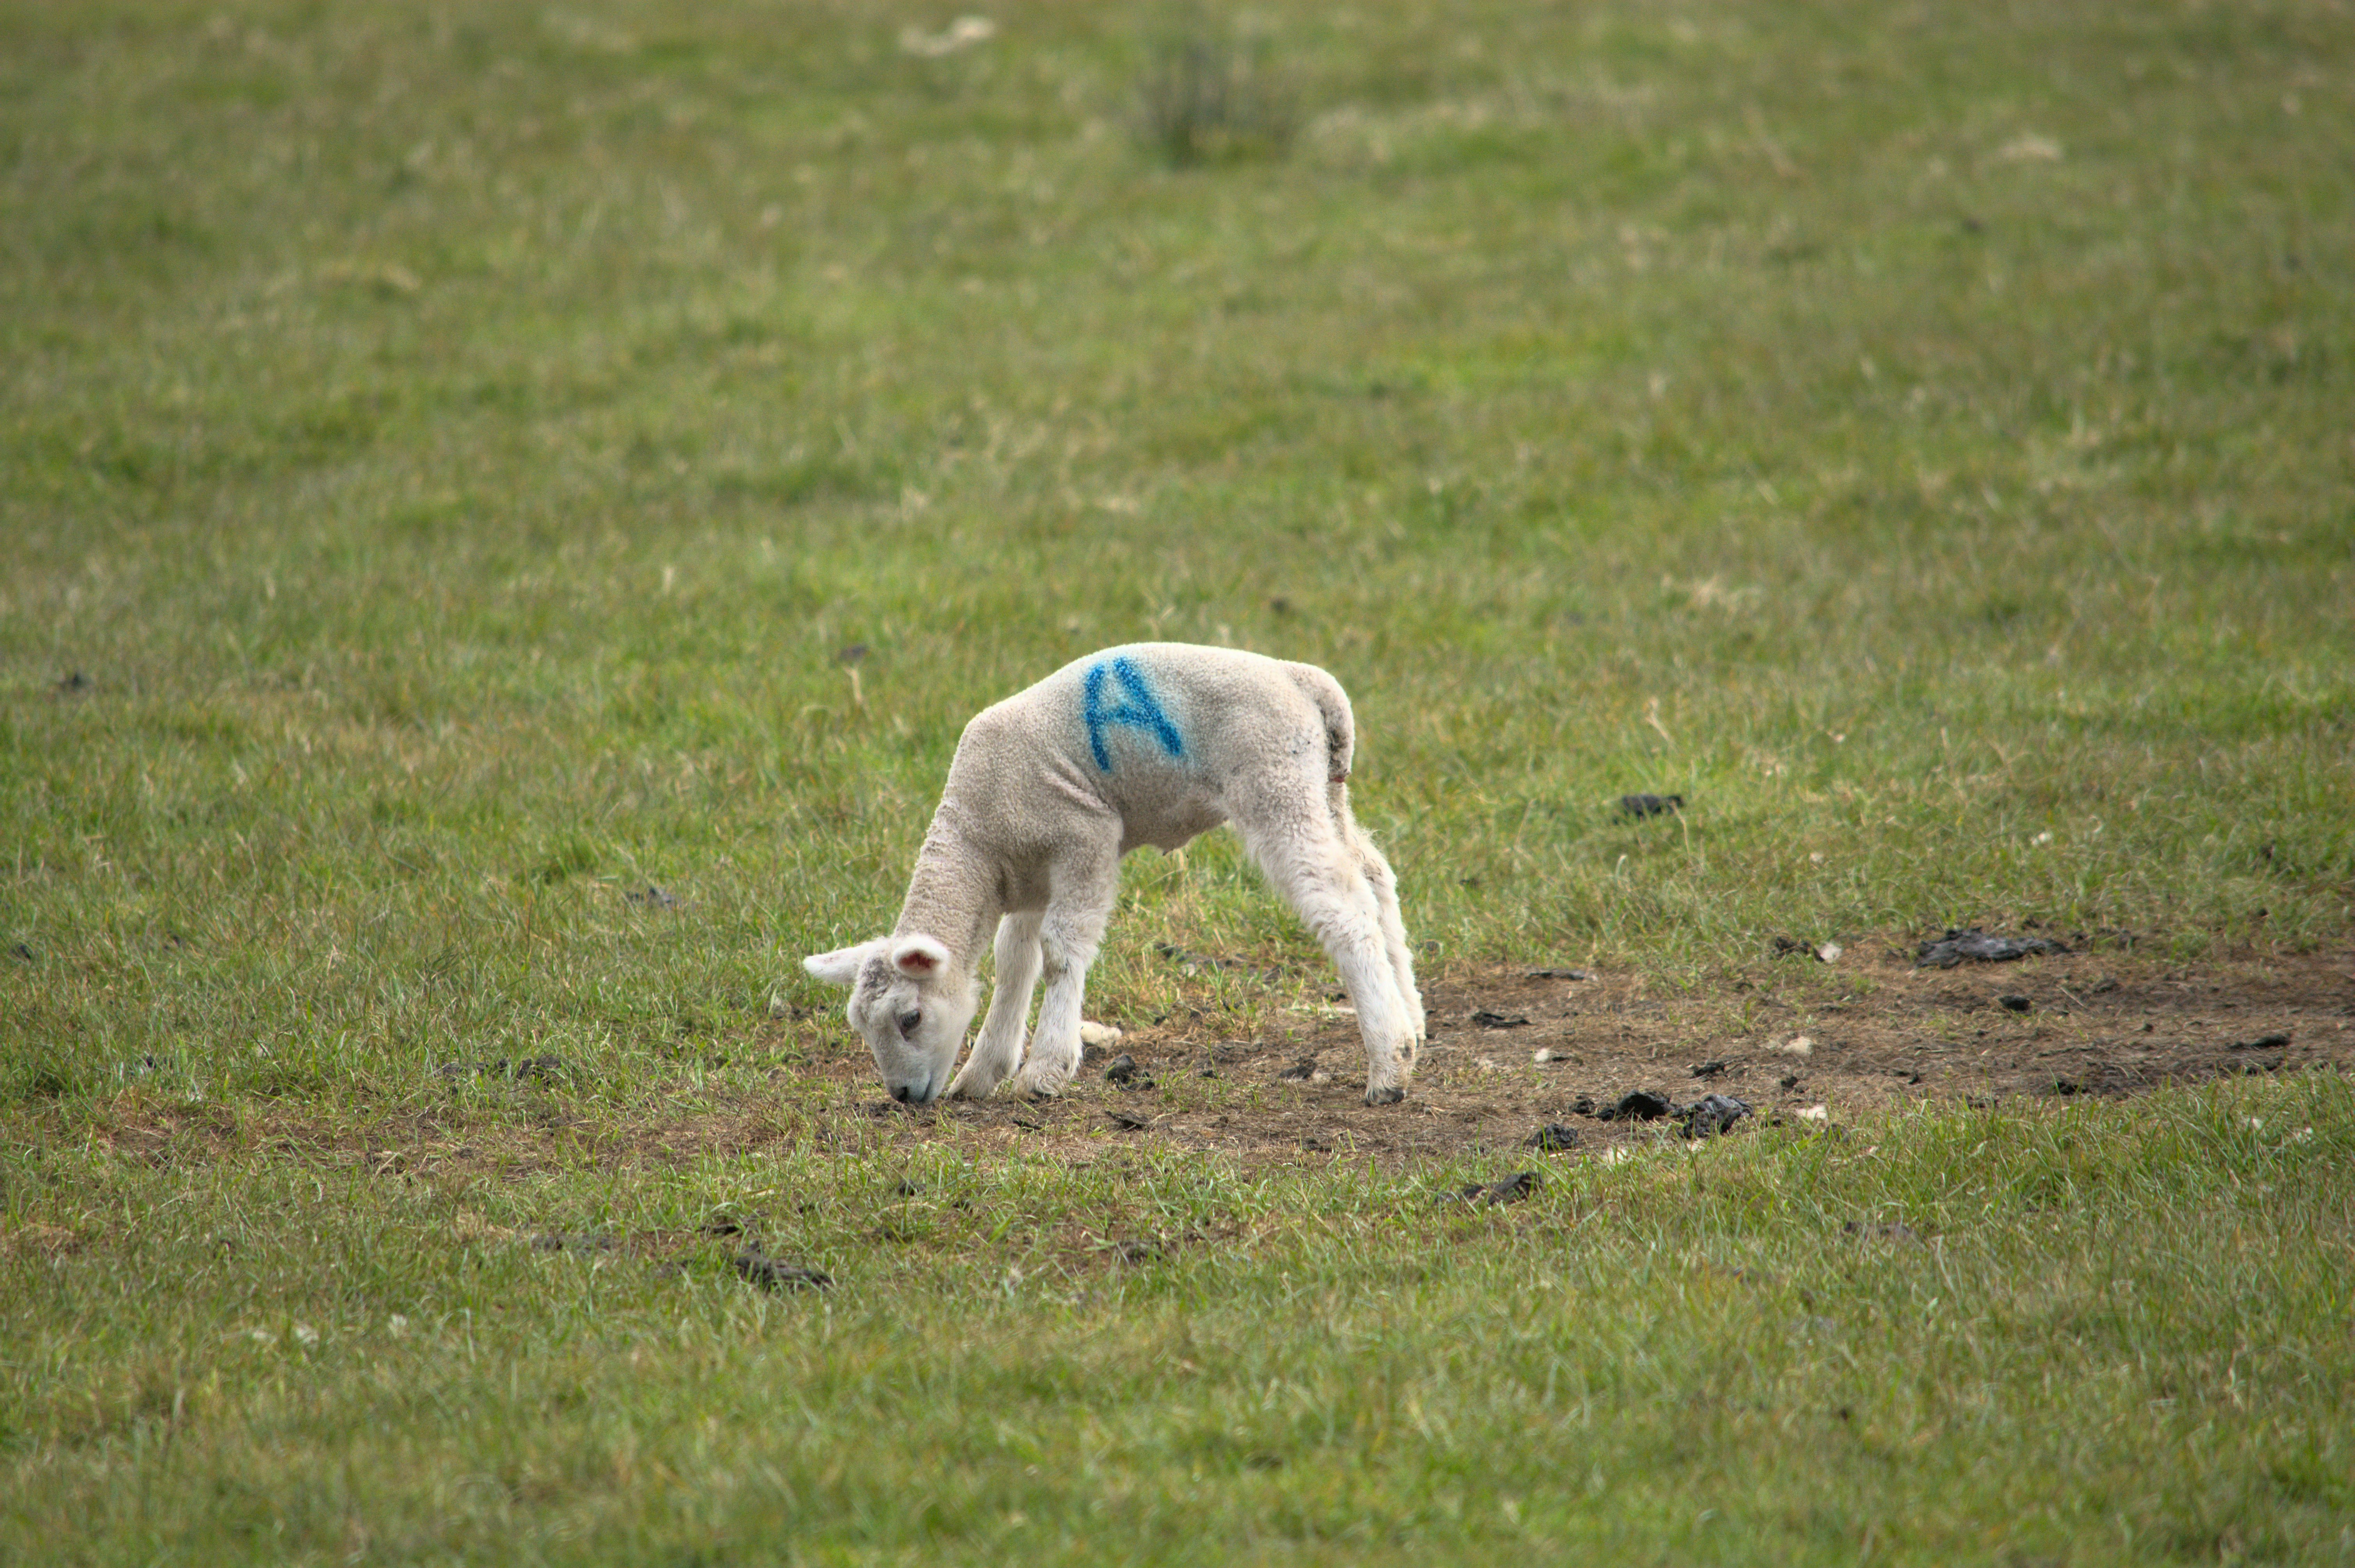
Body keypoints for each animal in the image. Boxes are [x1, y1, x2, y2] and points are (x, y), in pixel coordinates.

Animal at [804, 643, 1425, 1106]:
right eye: (862, 1026)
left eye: (910, 1018)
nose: (903, 1095)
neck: (978, 845)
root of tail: (1305, 682)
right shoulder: (1029, 877)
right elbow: (1014, 963)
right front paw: (984, 1072)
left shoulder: (1085, 838)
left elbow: (1061, 953)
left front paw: (1045, 1071)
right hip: (1323, 787)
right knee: (1374, 877)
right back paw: (1414, 1023)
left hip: (1275, 784)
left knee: (1342, 911)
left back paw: (1389, 1065)